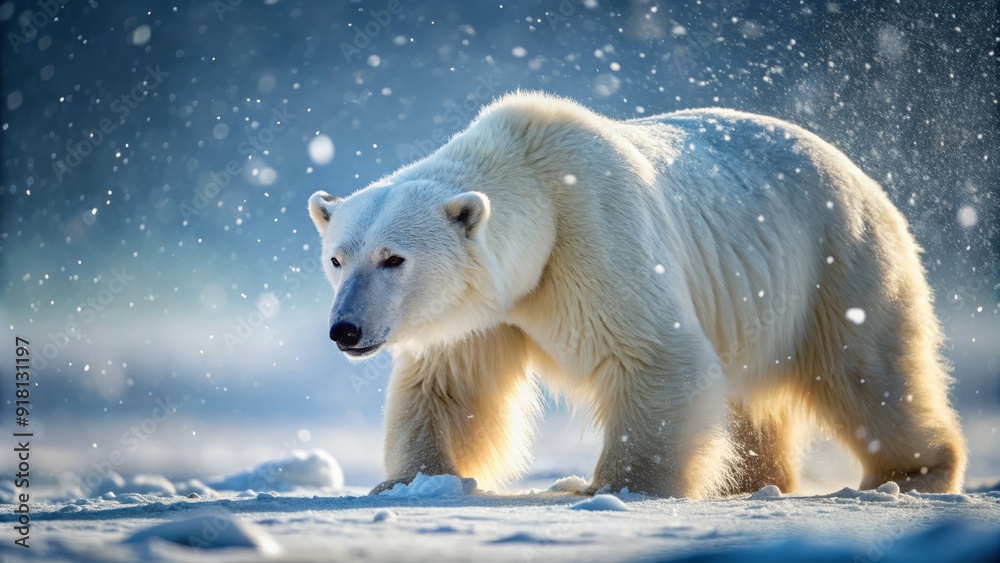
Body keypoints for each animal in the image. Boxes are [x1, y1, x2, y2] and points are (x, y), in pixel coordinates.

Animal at [308, 92, 967, 498]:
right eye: (337, 259)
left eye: (394, 258)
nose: (345, 330)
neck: (534, 178)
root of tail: (859, 173)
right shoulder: (487, 309)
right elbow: (450, 385)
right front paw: (408, 482)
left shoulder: (595, 237)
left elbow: (655, 355)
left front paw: (614, 488)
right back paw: (751, 479)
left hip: (836, 261)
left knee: (868, 371)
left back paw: (916, 472)